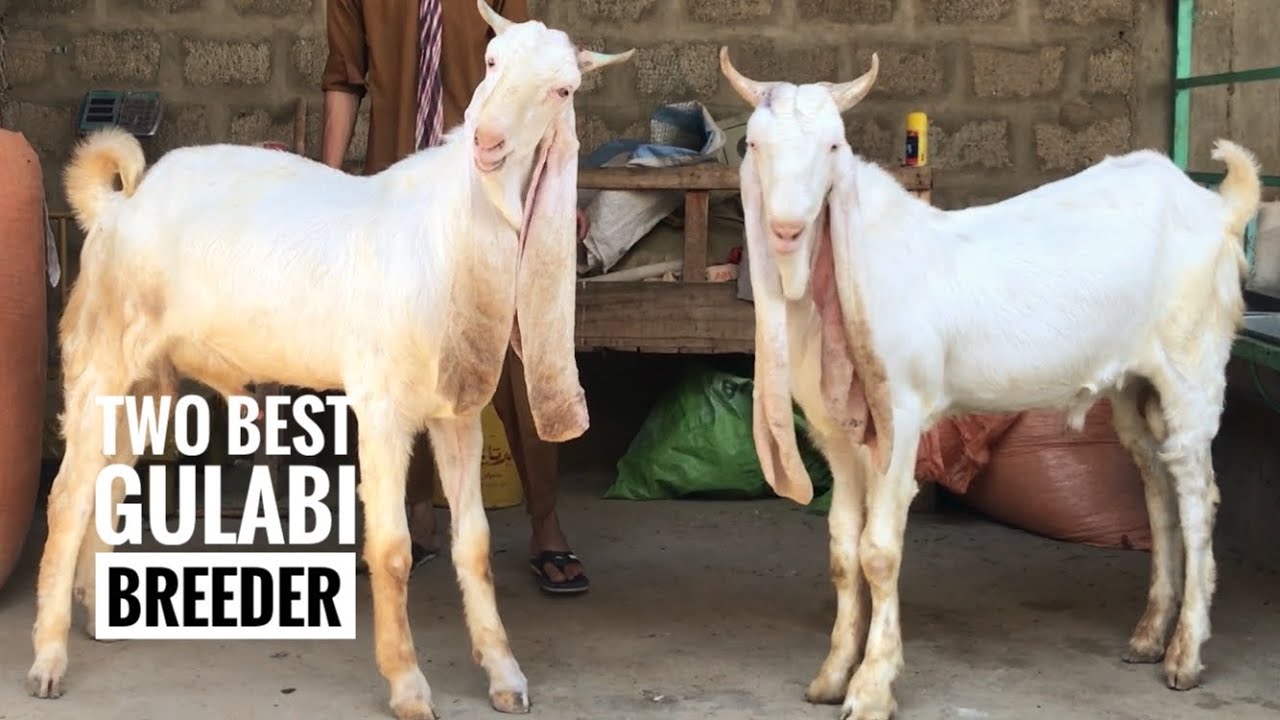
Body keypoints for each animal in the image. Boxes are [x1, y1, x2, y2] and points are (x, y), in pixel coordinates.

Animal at [25, 4, 634, 719]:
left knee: (109, 481)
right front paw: (408, 684)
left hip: (147, 381)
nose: (487, 141)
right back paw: (47, 659)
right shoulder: (381, 404)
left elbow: (477, 546)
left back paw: (96, 612)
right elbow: (391, 550)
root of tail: (117, 208)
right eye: (490, 62)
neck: (446, 233)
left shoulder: (455, 411)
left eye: (563, 90)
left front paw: (504, 672)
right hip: (100, 357)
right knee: (67, 497)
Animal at [720, 47, 1262, 720]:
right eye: (754, 146)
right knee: (1157, 485)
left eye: (834, 146)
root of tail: (1218, 207)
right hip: (1135, 384)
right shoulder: (836, 432)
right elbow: (844, 550)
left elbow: (879, 551)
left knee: (1196, 496)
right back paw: (1148, 635)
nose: (788, 229)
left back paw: (1185, 654)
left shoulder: (900, 414)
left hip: (1193, 364)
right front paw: (832, 673)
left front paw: (872, 686)